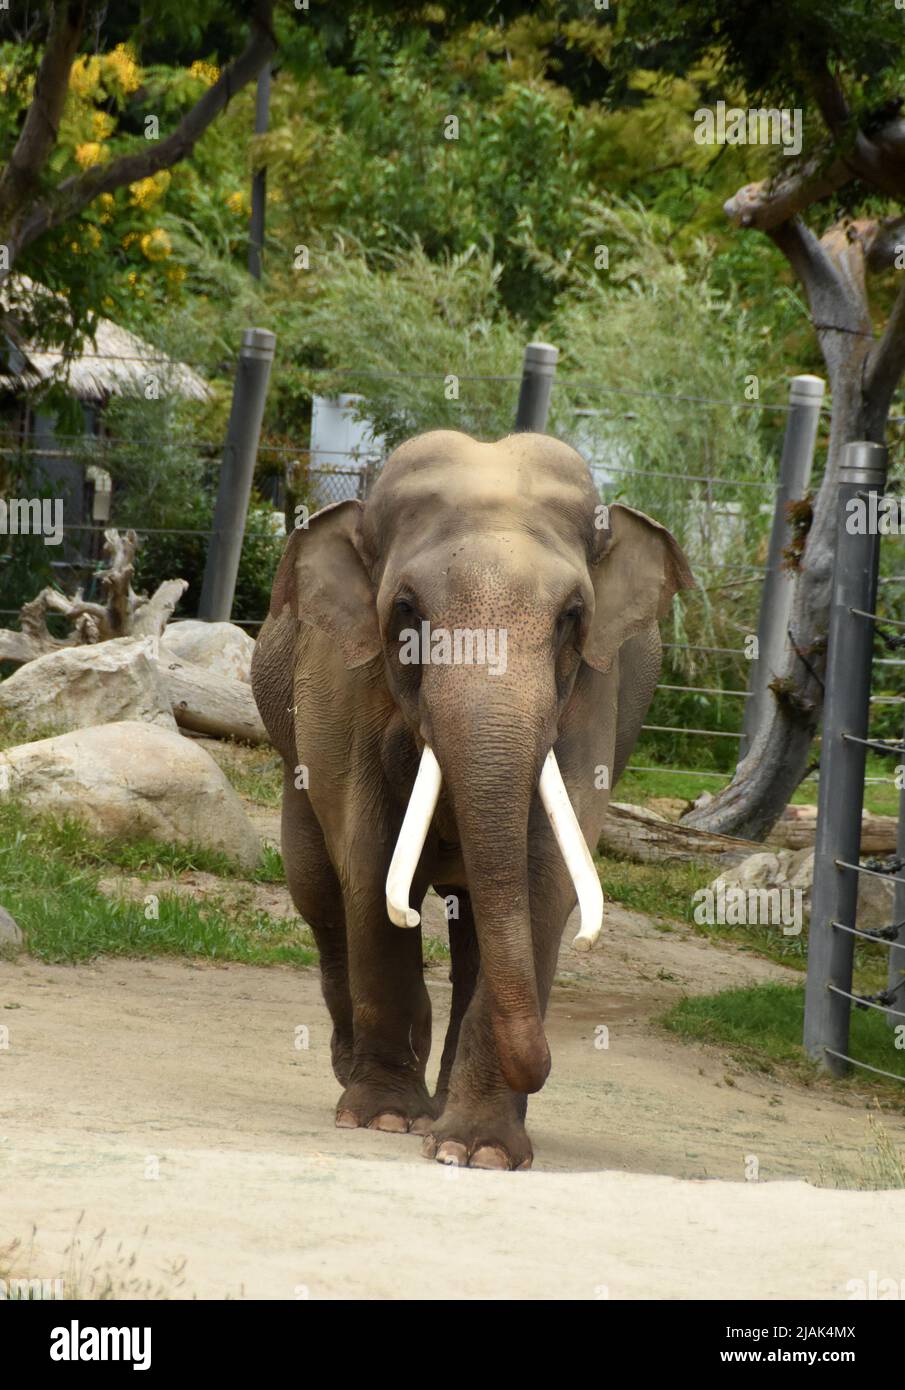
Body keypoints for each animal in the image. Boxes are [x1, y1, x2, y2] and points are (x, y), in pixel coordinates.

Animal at [251, 429, 694, 1169]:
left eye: (572, 617)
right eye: (405, 612)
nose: (542, 1066)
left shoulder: (593, 697)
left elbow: (544, 880)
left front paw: (478, 1149)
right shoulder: (340, 680)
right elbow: (370, 863)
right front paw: (385, 1119)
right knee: (319, 891)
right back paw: (363, 1074)